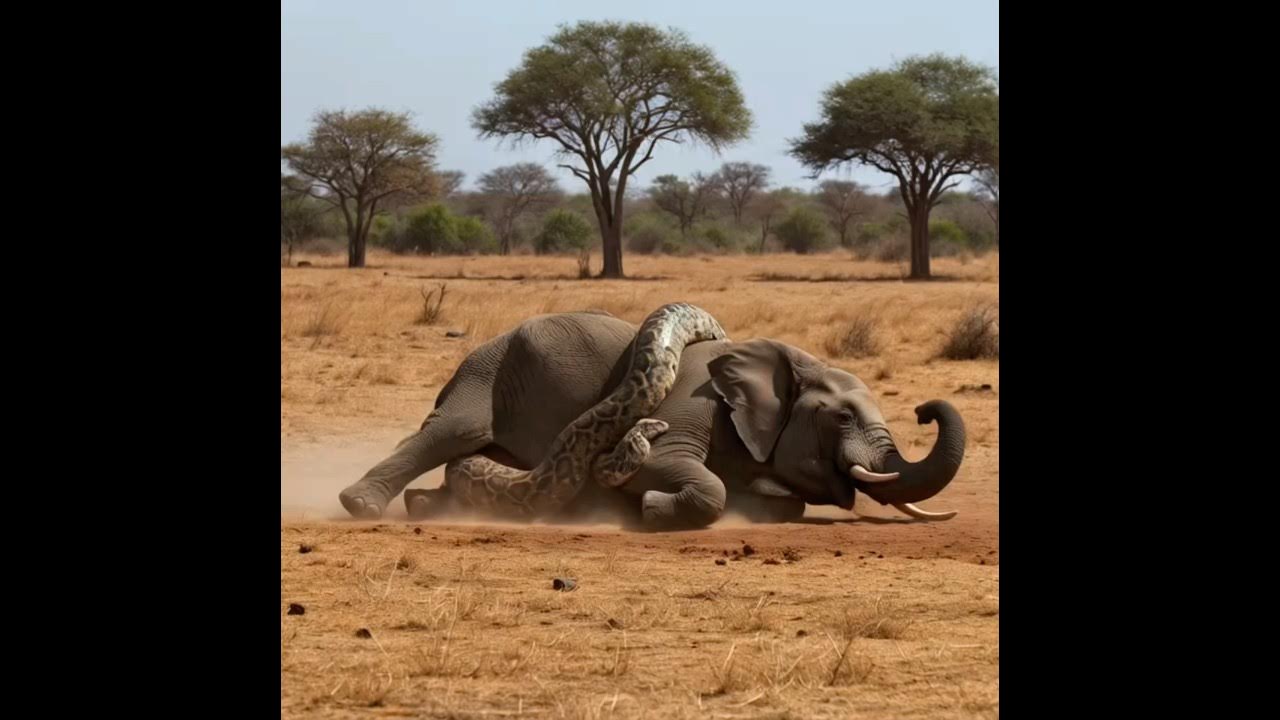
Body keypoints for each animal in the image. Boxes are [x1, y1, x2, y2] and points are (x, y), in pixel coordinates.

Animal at [338, 308, 965, 529]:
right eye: (842, 420)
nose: (924, 410)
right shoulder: (693, 404)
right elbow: (692, 479)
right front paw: (649, 508)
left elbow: (779, 500)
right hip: (485, 375)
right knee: (447, 434)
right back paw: (361, 504)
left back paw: (427, 505)